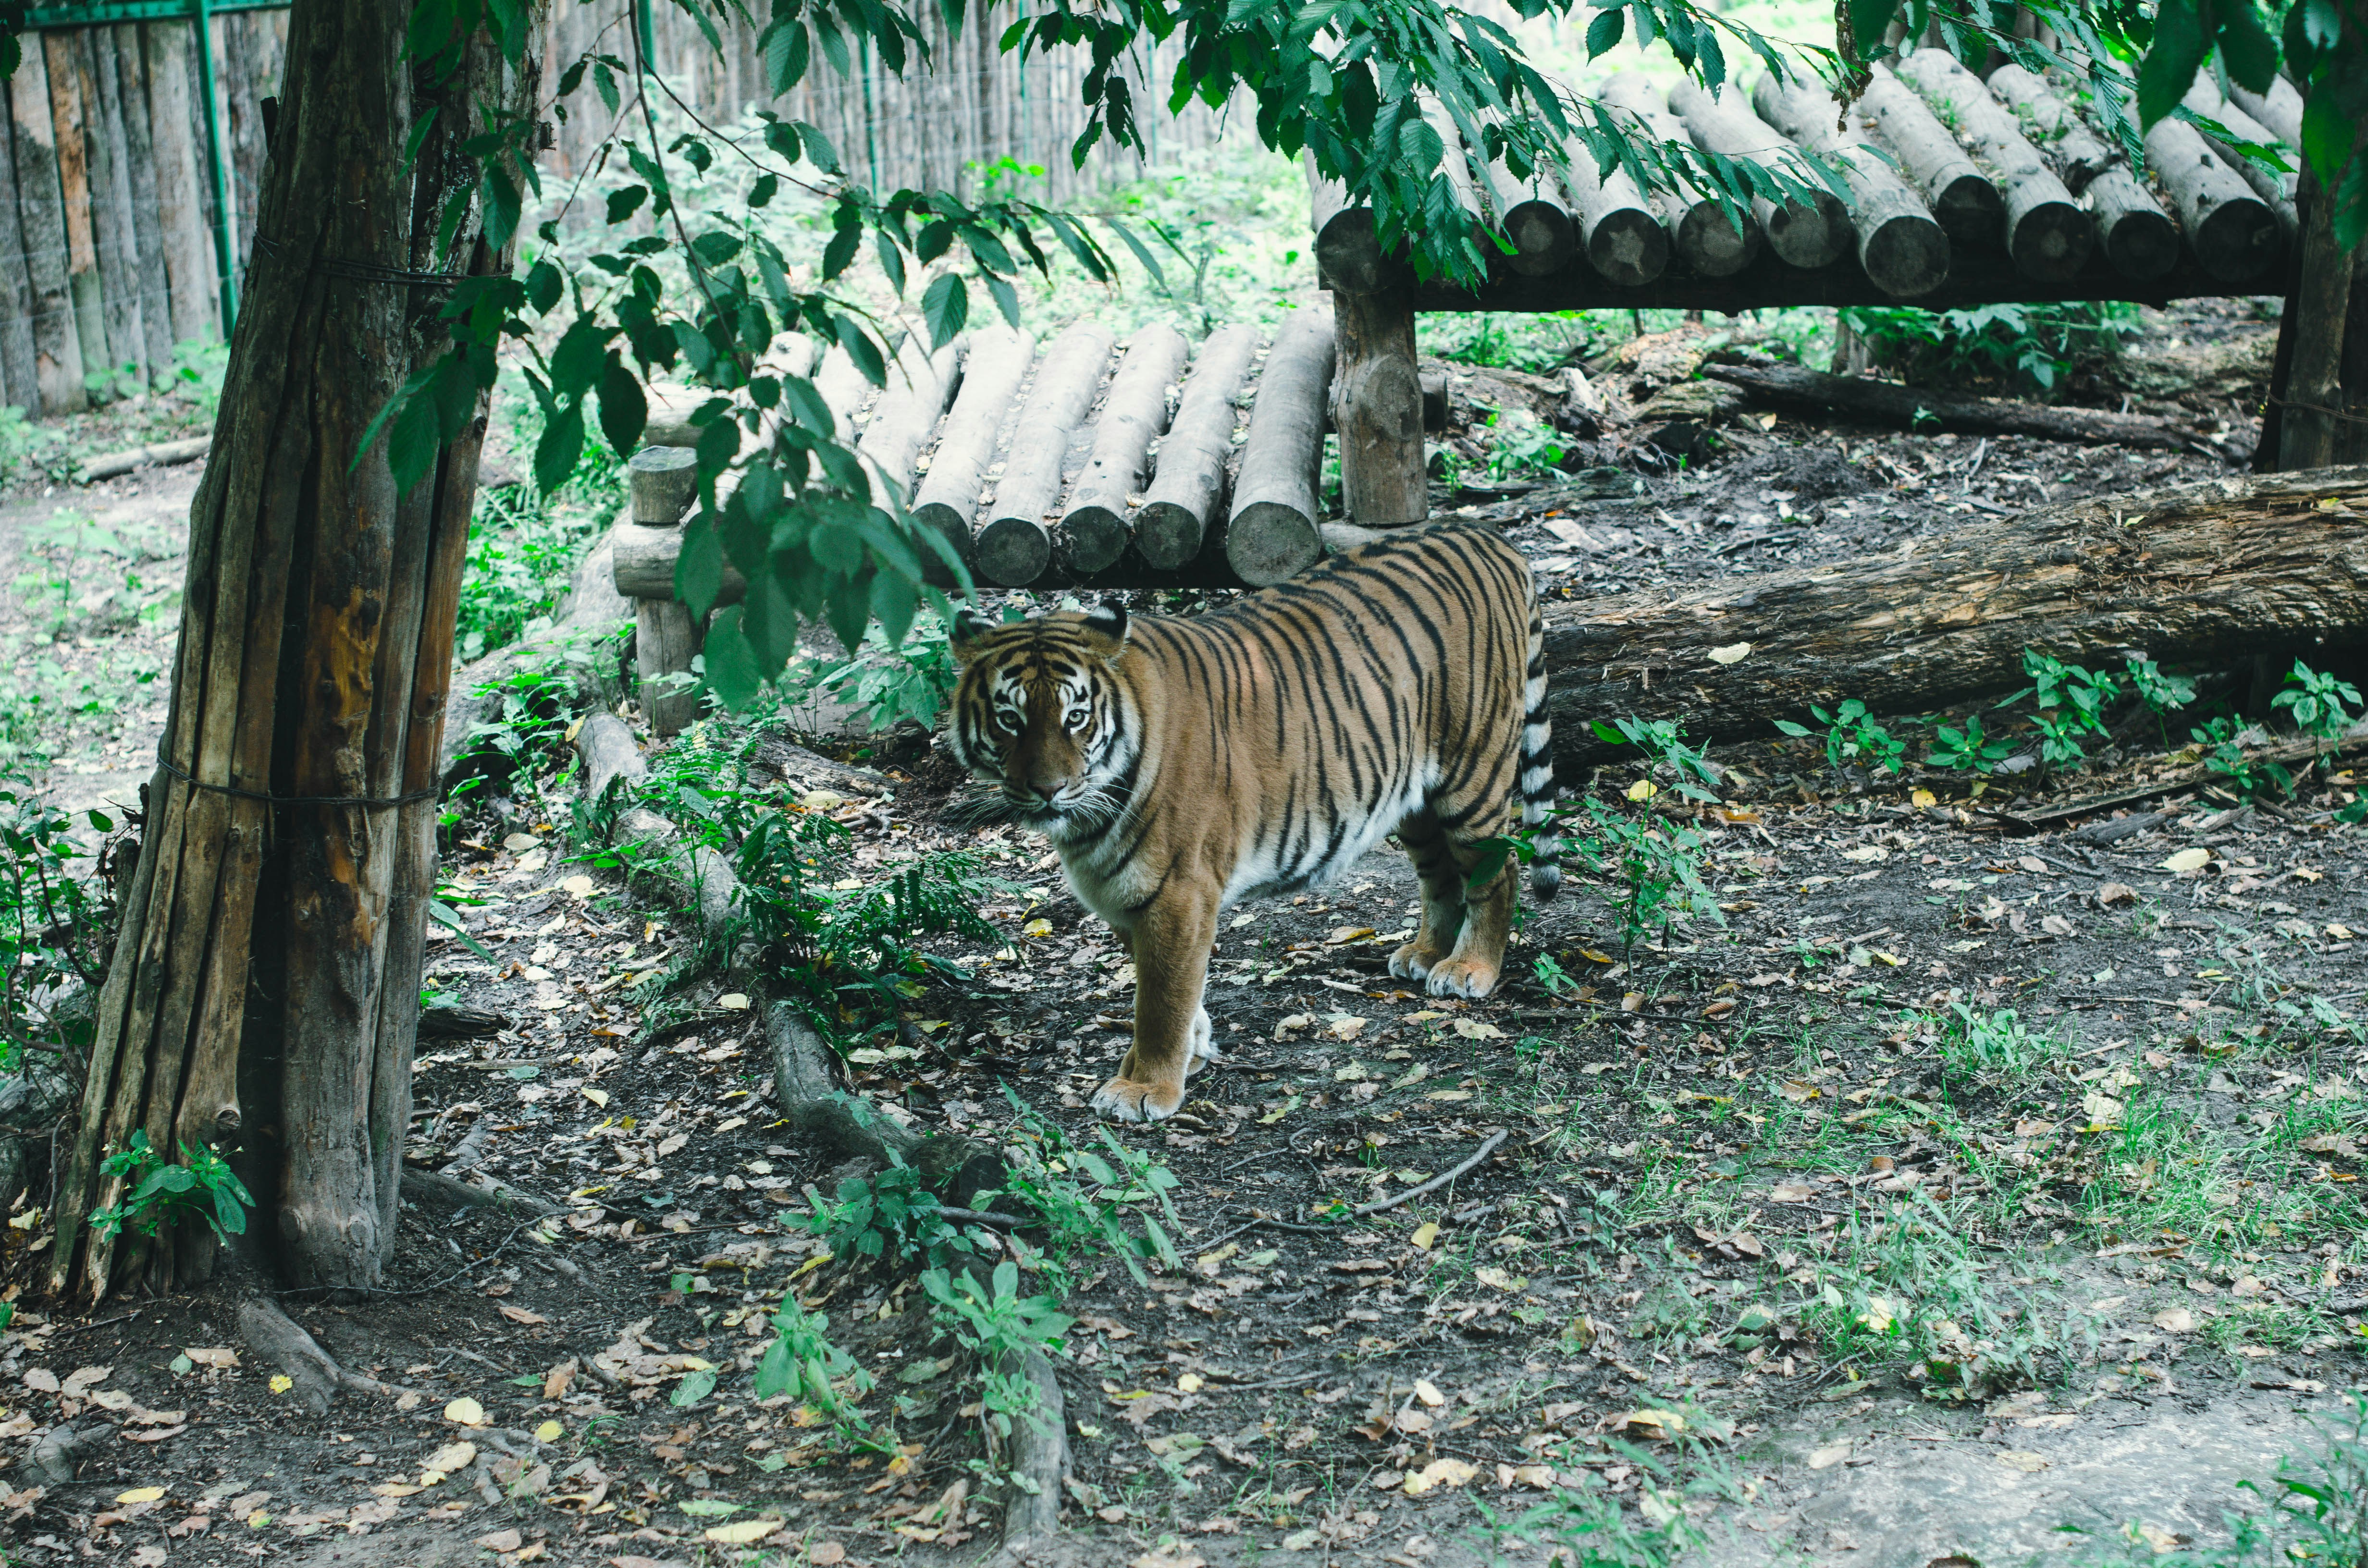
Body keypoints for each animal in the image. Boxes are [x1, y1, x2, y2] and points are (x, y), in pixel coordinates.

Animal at [946, 522, 1560, 1123]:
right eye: (1009, 719)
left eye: (1075, 717)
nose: (1046, 789)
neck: (1088, 815)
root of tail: (1483, 532)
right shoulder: (1126, 892)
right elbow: (1170, 989)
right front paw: (1190, 1052)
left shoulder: (1179, 891)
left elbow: (1160, 999)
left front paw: (1144, 1088)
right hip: (1414, 798)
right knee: (1440, 875)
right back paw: (1426, 954)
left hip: (1471, 773)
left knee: (1499, 868)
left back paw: (1470, 968)